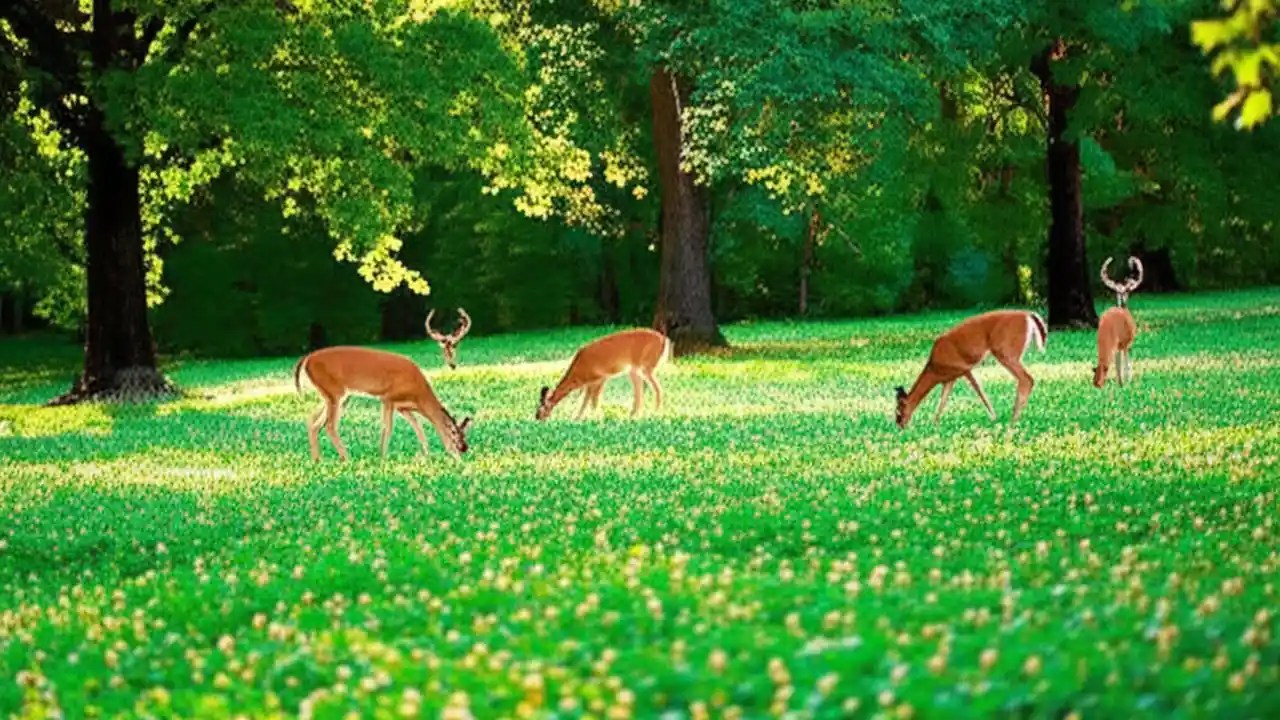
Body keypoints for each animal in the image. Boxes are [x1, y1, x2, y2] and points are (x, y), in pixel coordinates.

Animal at [293, 346, 471, 461]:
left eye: (464, 434)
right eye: (455, 434)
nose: (464, 448)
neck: (419, 393)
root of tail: (306, 359)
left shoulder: (403, 407)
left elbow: (417, 426)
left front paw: (426, 453)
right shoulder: (388, 398)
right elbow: (388, 427)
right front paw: (383, 456)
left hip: (335, 396)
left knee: (313, 421)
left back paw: (317, 460)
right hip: (334, 393)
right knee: (330, 425)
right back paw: (346, 458)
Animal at [536, 328, 672, 421]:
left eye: (542, 407)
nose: (537, 418)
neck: (579, 375)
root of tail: (664, 340)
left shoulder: (600, 377)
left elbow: (594, 400)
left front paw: (597, 418)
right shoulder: (591, 382)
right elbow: (585, 400)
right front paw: (577, 418)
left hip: (645, 366)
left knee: (658, 389)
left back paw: (655, 412)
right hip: (634, 370)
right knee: (641, 392)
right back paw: (633, 416)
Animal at [895, 310, 1048, 429]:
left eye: (898, 411)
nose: (900, 426)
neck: (935, 369)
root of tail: (1028, 315)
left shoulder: (964, 368)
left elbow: (980, 392)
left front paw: (994, 417)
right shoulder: (950, 379)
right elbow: (943, 400)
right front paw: (935, 423)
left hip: (1006, 352)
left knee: (1027, 379)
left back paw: (1013, 420)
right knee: (1027, 379)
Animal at [1095, 256, 1144, 388]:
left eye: (1126, 291)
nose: (1122, 297)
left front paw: (1120, 381)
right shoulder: (1126, 342)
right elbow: (1126, 362)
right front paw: (1127, 381)